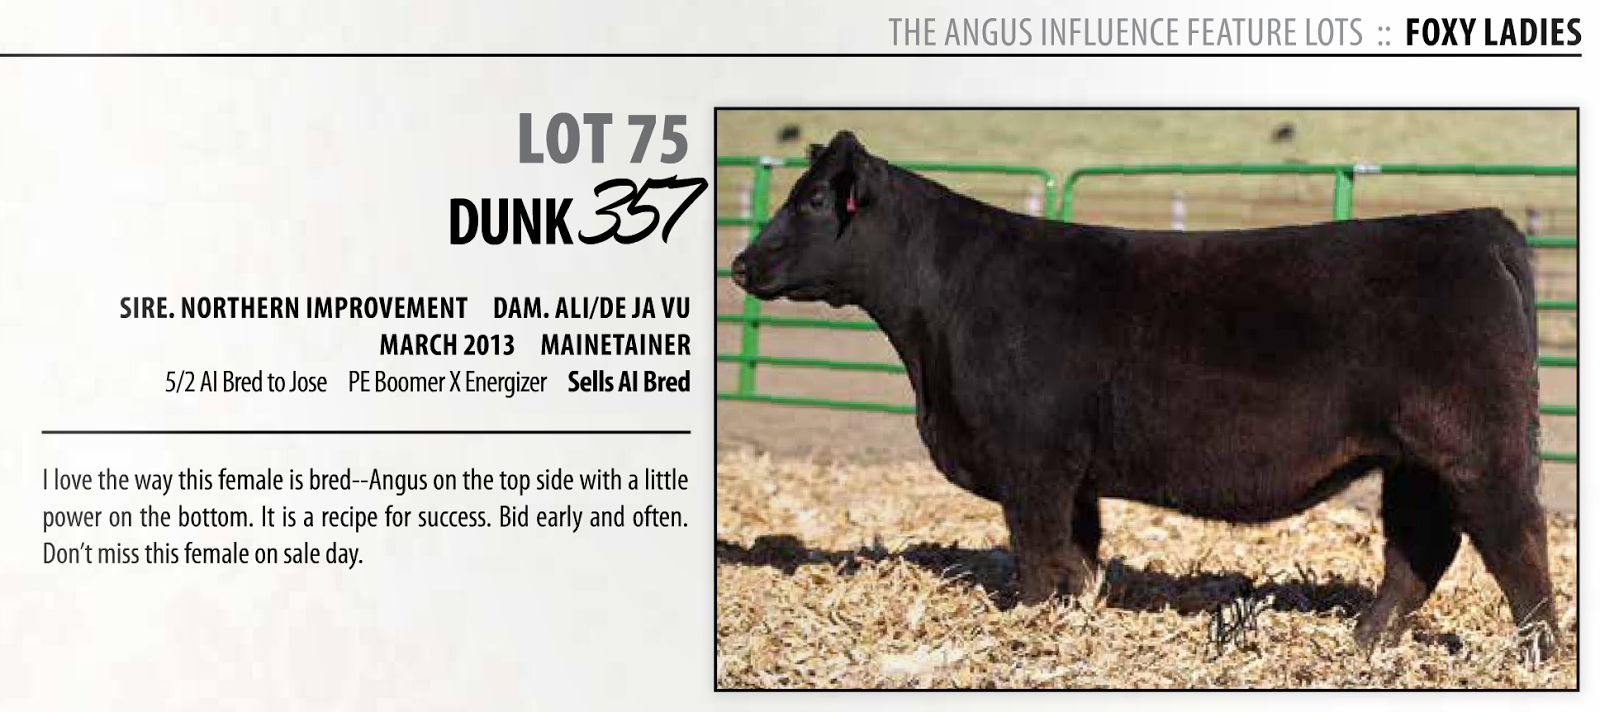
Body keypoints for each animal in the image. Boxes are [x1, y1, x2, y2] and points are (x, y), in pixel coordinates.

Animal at [730, 131, 1555, 658]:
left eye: (813, 201)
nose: (740, 265)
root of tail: (1476, 224)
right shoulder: (1074, 475)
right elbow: (1077, 556)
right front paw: (1073, 618)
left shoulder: (1032, 461)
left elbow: (1037, 554)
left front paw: (1031, 626)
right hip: (1413, 462)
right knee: (1419, 549)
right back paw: (1366, 642)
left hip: (1478, 447)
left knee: (1516, 541)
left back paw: (1535, 653)